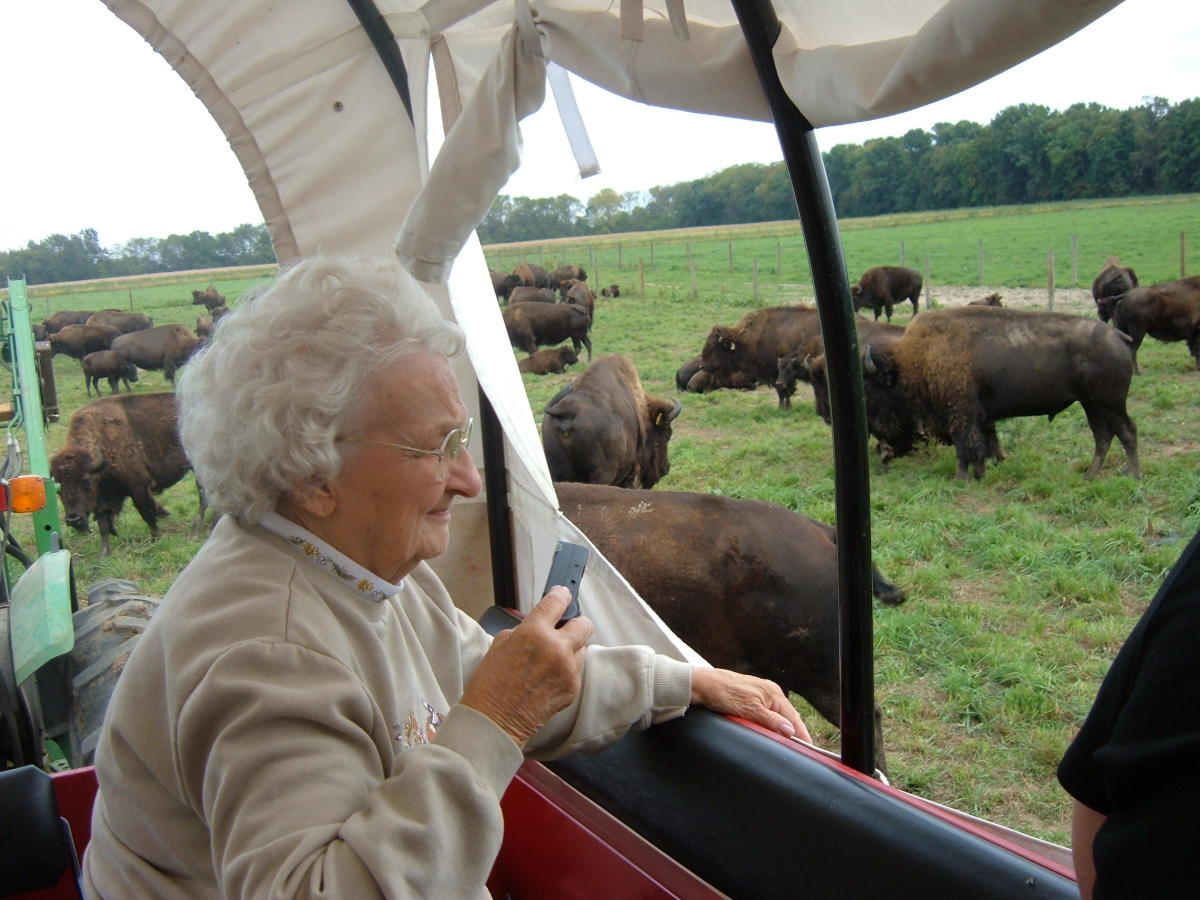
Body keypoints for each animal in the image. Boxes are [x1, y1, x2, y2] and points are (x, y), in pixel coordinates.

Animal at [50, 392, 205, 555]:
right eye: (58, 488)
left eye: (86, 481)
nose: (74, 520)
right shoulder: (101, 499)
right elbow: (104, 526)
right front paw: (103, 554)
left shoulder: (138, 487)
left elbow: (147, 514)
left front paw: (156, 538)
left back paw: (194, 533)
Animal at [857, 306, 1139, 480]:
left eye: (874, 389)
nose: (878, 436)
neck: (918, 357)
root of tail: (1117, 335)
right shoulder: (981, 415)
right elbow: (987, 441)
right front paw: (986, 470)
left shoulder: (960, 414)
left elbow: (966, 446)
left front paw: (961, 478)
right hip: (1092, 405)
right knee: (1103, 436)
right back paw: (1091, 474)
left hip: (1109, 404)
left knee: (1126, 431)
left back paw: (1132, 474)